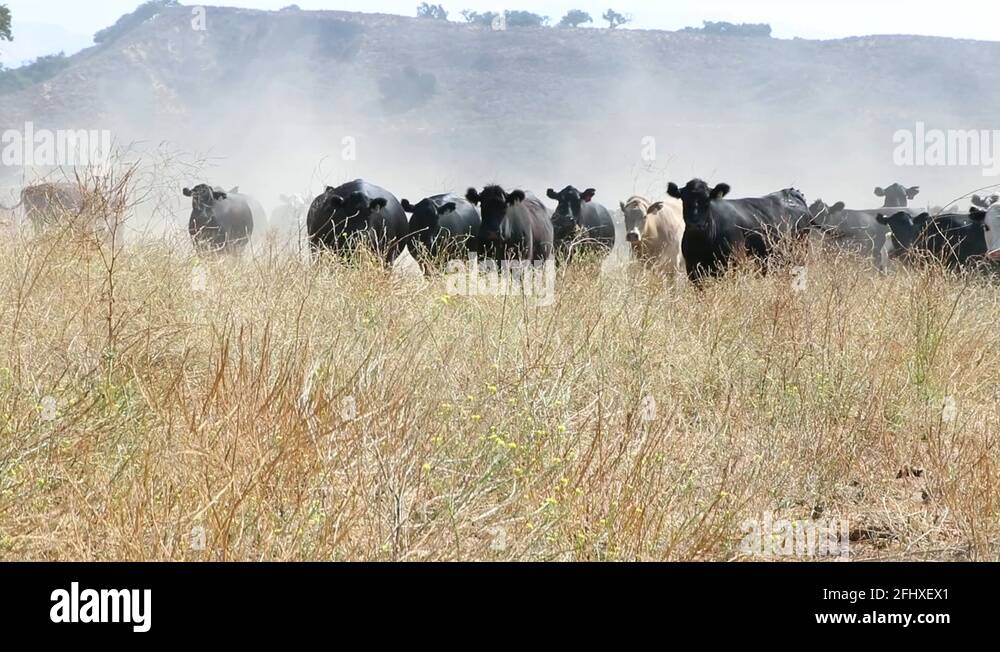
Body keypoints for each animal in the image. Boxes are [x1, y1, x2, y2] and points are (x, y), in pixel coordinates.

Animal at [667, 179, 810, 282]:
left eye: (707, 200)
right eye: (684, 200)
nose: (696, 223)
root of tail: (791, 192)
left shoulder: (734, 264)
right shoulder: (693, 268)